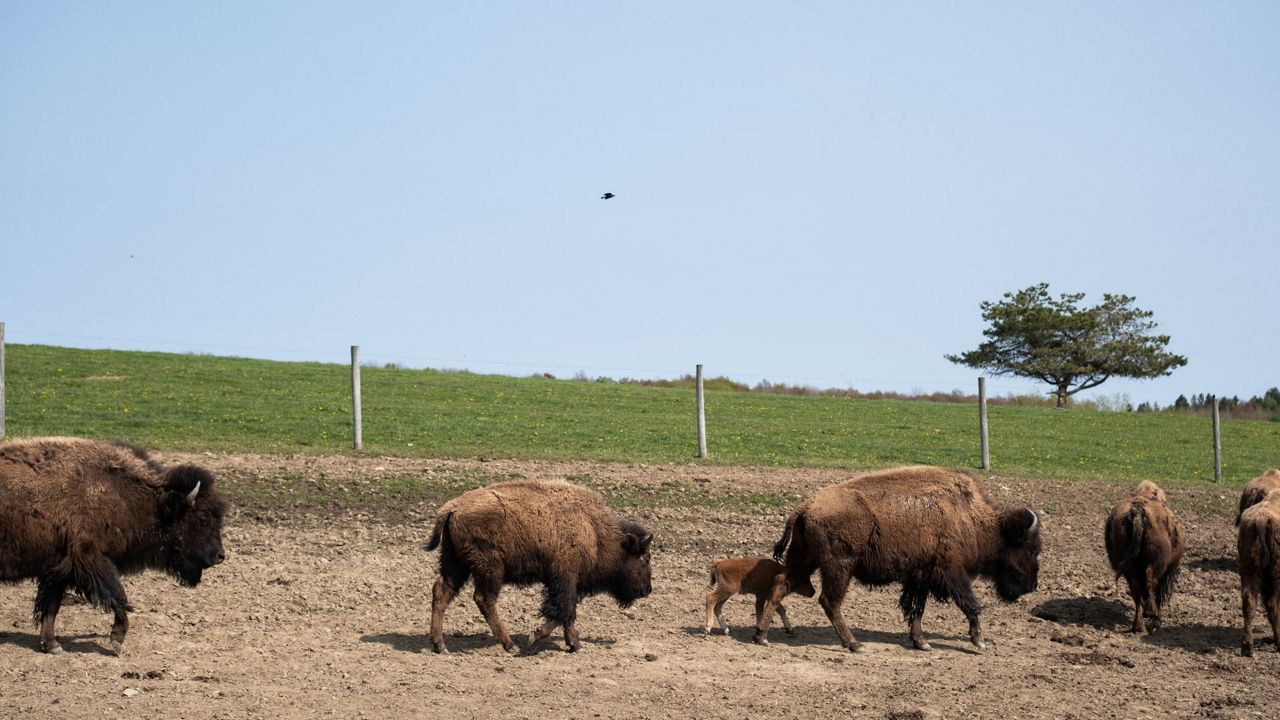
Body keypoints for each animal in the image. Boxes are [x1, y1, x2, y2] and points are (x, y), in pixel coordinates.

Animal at [0, 437, 227, 654]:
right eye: (203, 518)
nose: (219, 556)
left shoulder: (60, 567)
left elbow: (52, 606)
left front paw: (51, 645)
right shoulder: (91, 560)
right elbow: (117, 595)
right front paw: (117, 639)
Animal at [425, 479, 653, 654]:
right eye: (645, 558)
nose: (647, 590)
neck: (594, 530)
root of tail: (452, 508)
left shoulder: (570, 583)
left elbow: (569, 614)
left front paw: (575, 645)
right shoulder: (565, 578)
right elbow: (563, 611)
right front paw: (534, 637)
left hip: (456, 565)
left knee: (442, 592)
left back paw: (440, 646)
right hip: (490, 569)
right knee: (484, 599)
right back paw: (510, 645)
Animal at [757, 466, 1040, 652]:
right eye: (1030, 549)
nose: (1032, 585)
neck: (970, 518)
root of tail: (804, 507)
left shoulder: (921, 577)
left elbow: (917, 608)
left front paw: (921, 642)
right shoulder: (951, 574)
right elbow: (971, 604)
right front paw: (978, 641)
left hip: (803, 561)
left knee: (780, 586)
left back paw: (762, 635)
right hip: (839, 567)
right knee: (829, 600)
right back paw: (854, 644)